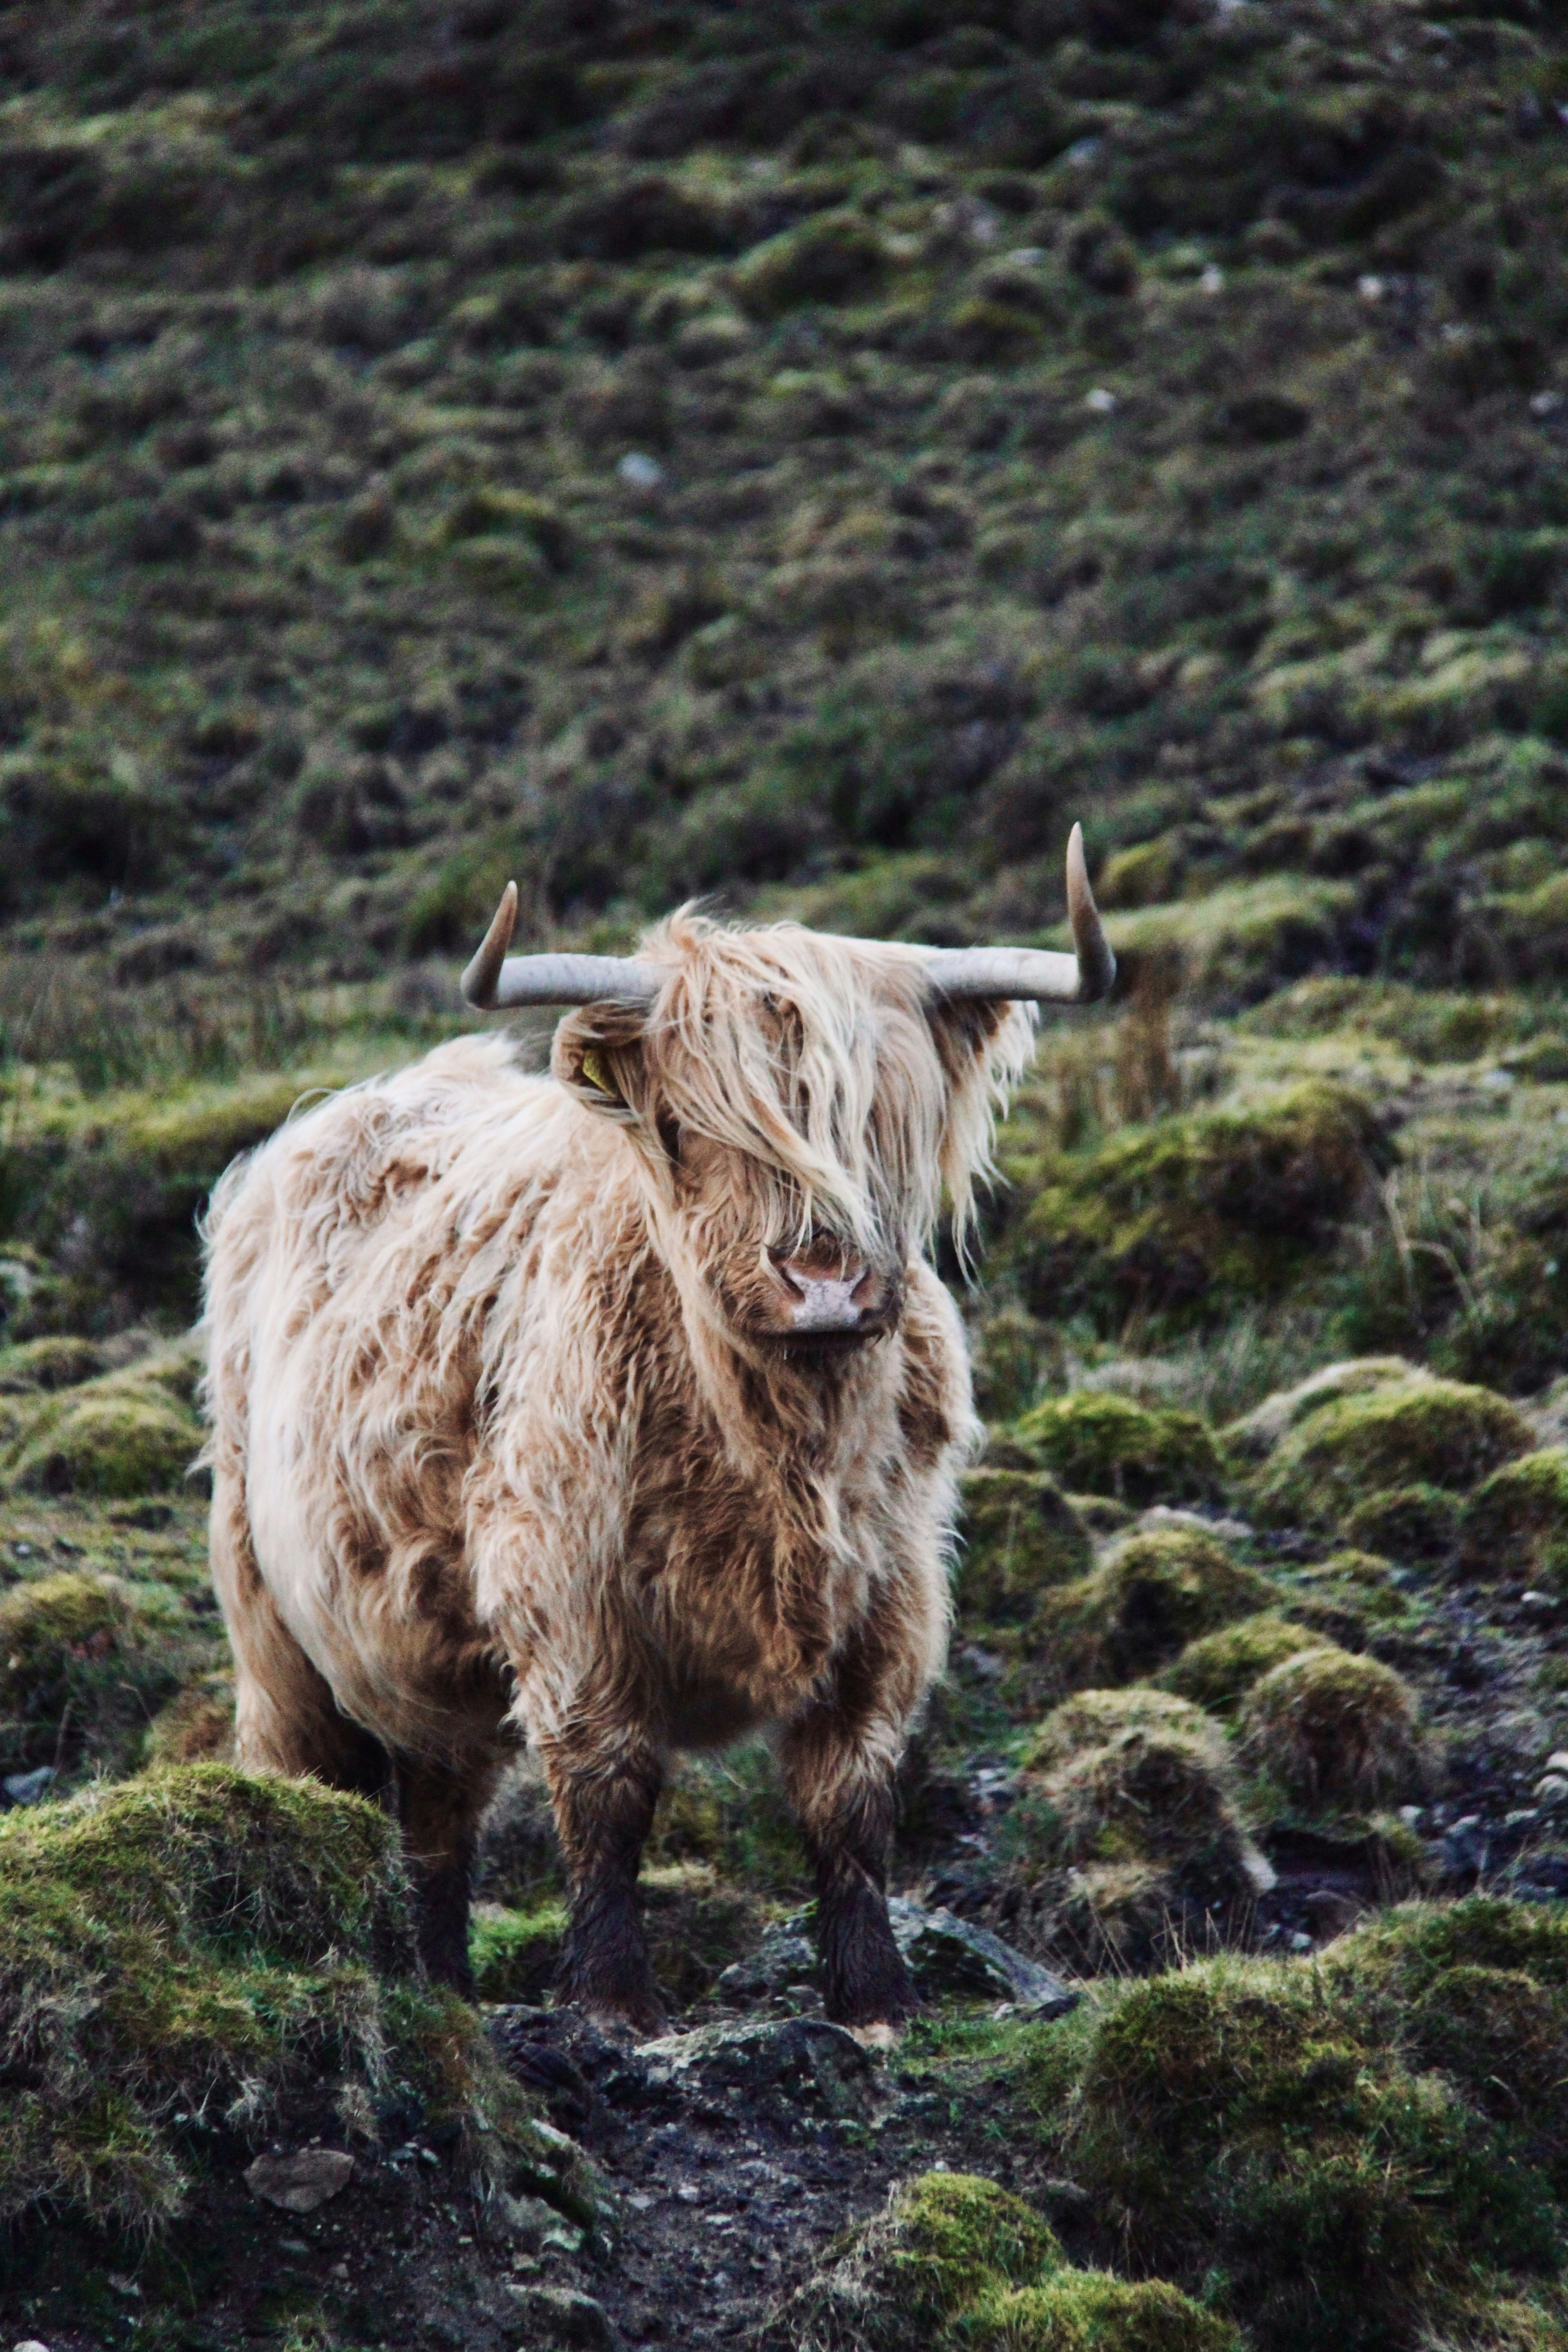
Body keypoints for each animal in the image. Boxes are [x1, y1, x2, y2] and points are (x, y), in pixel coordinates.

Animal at [201, 828, 1113, 2034]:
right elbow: (608, 1787)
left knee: (438, 1816)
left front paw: (875, 1996)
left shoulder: (894, 1593)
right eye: (693, 1125)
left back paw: (443, 1986)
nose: (822, 1281)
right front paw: (610, 2000)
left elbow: (851, 1798)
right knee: (328, 1786)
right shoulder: (565, 1586)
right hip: (276, 1631)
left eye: (883, 1115)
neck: (781, 1446)